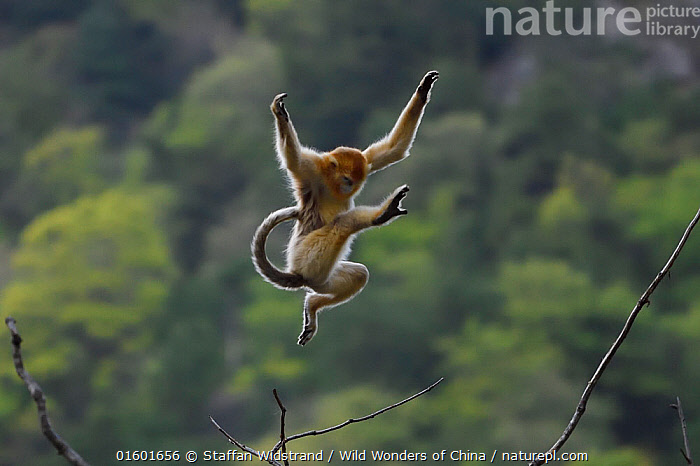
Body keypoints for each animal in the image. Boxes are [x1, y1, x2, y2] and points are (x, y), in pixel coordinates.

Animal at [252, 70, 438, 346]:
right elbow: (293, 160)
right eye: (347, 180)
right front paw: (280, 113)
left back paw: (313, 304)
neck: (330, 184)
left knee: (358, 274)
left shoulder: (365, 161)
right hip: (307, 259)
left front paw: (423, 90)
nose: (351, 188)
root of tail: (300, 275)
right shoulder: (312, 172)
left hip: (325, 277)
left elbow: (394, 149)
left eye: (356, 181)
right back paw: (383, 213)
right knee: (343, 224)